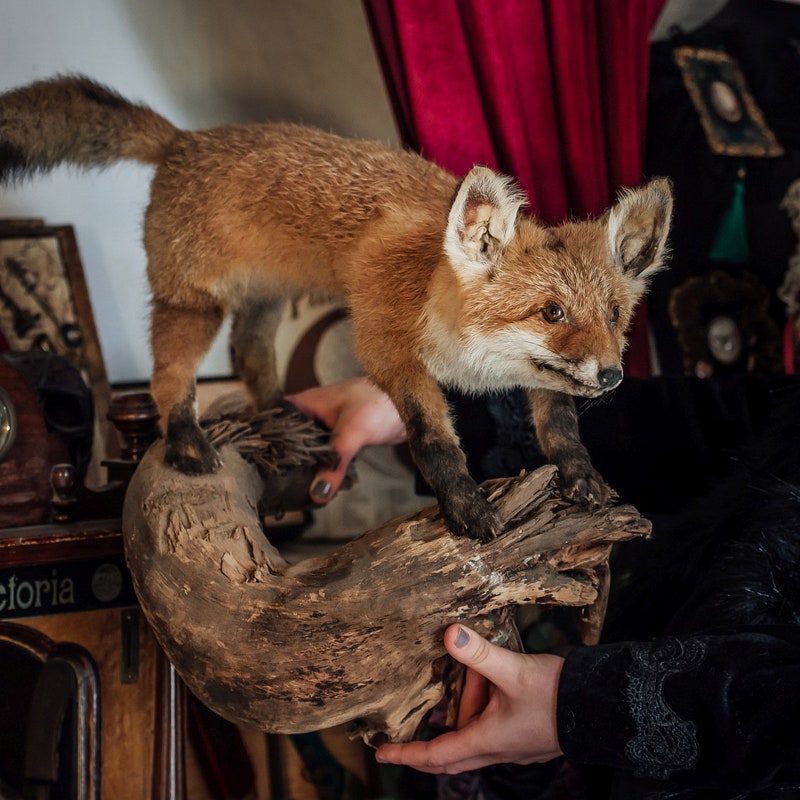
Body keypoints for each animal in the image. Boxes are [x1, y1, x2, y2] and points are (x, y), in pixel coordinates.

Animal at [0, 75, 672, 542]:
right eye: (551, 313)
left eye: (614, 316)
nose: (612, 375)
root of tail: (183, 140)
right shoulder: (386, 349)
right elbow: (433, 441)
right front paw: (463, 504)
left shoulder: (540, 380)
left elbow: (559, 427)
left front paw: (580, 475)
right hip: (193, 305)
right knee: (170, 373)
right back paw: (187, 436)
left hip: (264, 300)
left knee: (249, 350)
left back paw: (278, 413)